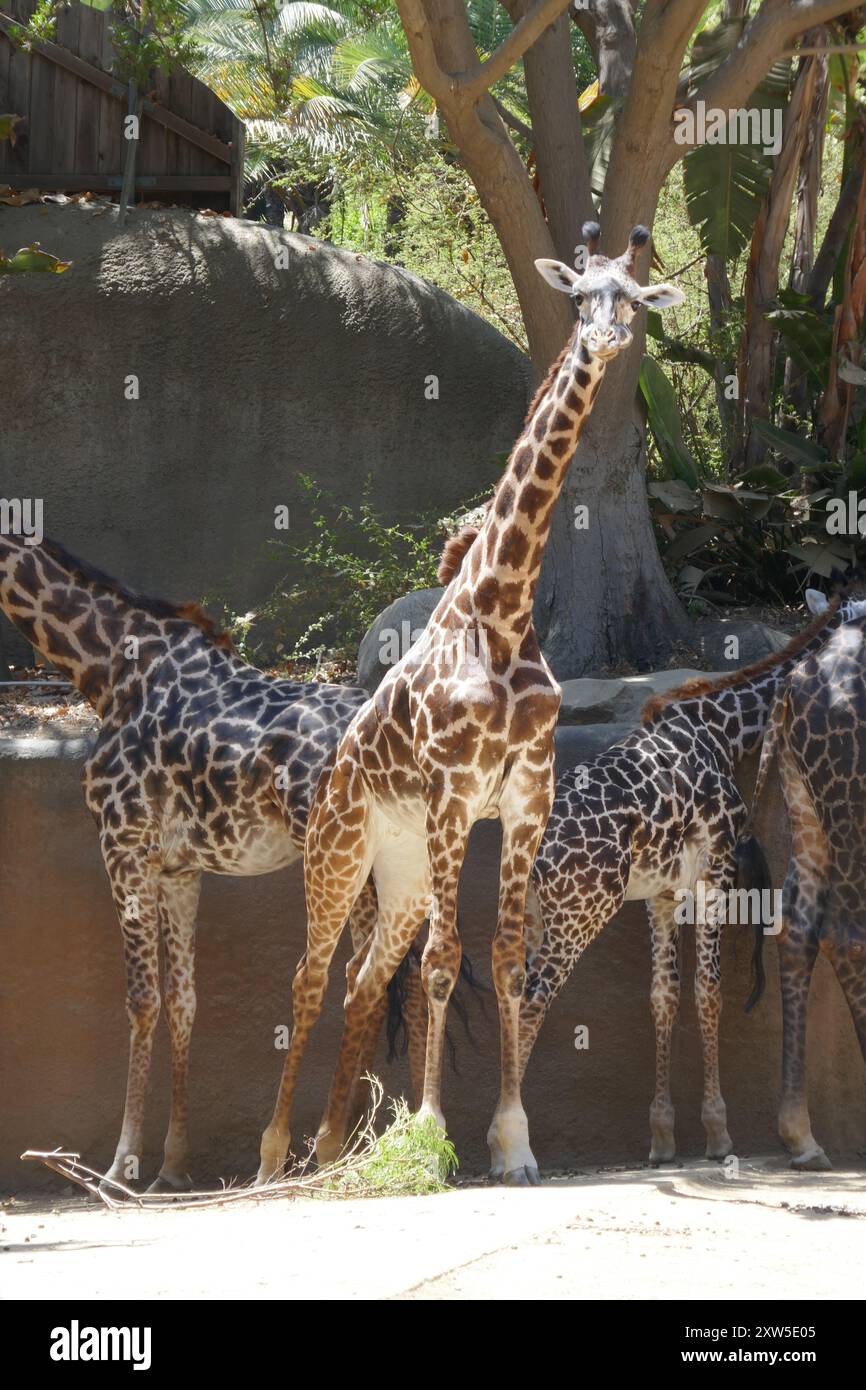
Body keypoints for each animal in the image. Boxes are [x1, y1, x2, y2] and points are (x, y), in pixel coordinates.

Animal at [0, 531, 429, 1190]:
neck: (106, 668)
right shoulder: (181, 868)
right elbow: (184, 1000)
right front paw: (172, 1167)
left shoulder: (122, 844)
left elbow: (142, 1000)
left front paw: (121, 1166)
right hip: (384, 860)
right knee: (392, 974)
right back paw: (375, 1138)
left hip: (332, 852)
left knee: (333, 976)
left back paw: (302, 1148)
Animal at [257, 222, 687, 1186]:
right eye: (580, 295)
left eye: (633, 299)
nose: (603, 341)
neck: (505, 608)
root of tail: (334, 768)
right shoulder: (456, 793)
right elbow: (448, 963)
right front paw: (429, 1132)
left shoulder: (526, 795)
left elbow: (509, 961)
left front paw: (511, 1143)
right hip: (339, 852)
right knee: (308, 976)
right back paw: (271, 1159)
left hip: (403, 872)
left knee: (363, 979)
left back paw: (333, 1149)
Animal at [493, 587, 866, 1171]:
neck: (719, 729)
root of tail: (529, 852)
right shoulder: (715, 872)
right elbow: (708, 991)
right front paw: (718, 1134)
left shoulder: (662, 894)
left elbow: (663, 995)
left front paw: (663, 1138)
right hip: (581, 910)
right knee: (534, 999)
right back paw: (516, 1153)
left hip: (533, 914)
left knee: (510, 994)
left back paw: (494, 1141)